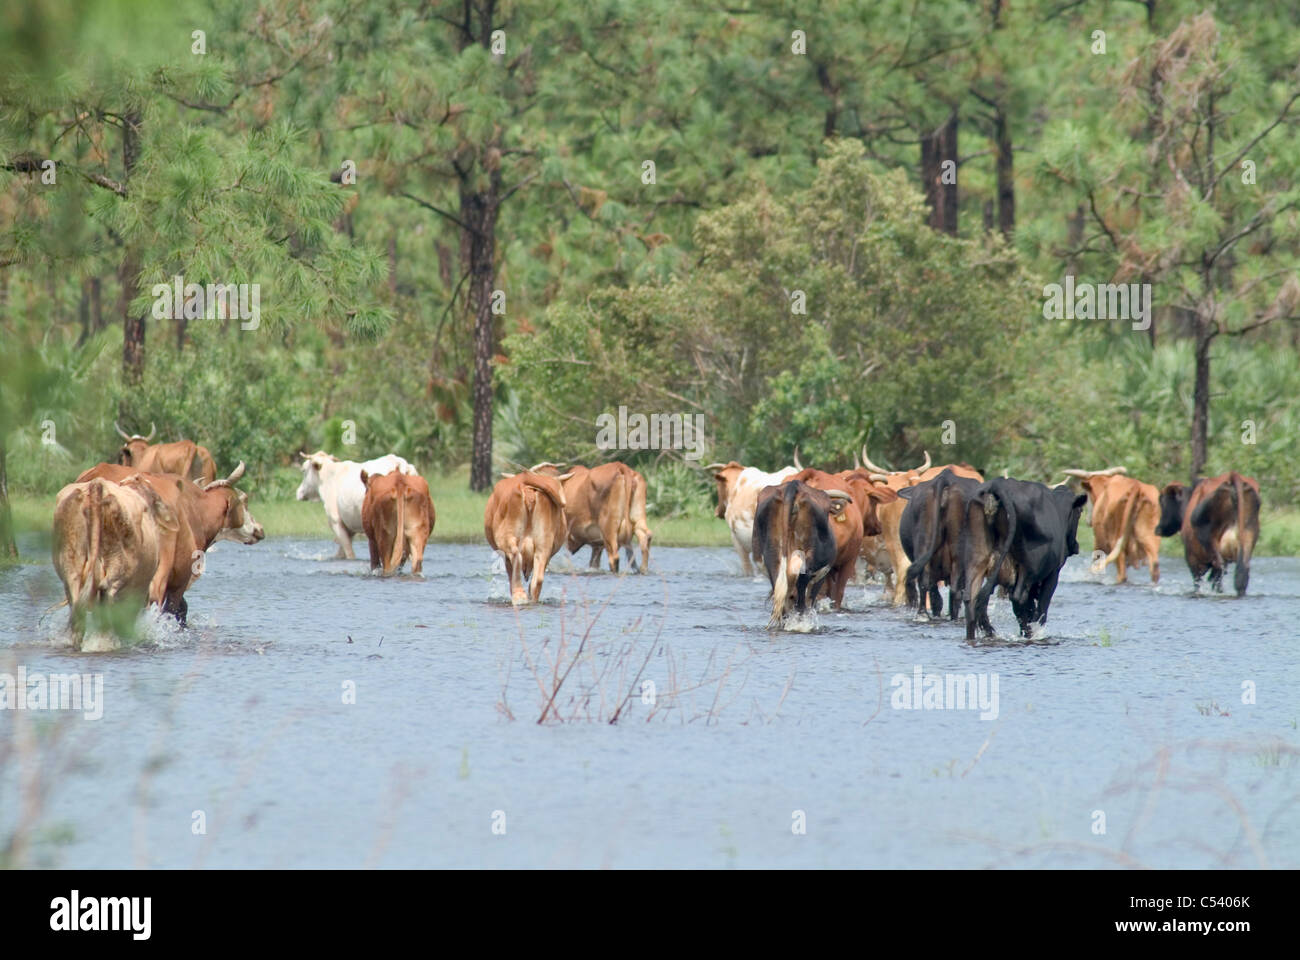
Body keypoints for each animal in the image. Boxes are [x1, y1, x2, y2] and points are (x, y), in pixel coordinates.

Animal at [52, 475, 178, 647]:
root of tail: (97, 484)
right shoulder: (138, 592)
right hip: (118, 571)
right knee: (107, 603)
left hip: (71, 569)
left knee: (78, 612)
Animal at [751, 479, 850, 627]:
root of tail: (793, 485)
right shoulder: (820, 576)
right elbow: (811, 599)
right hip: (808, 558)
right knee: (801, 592)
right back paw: (802, 623)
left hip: (772, 555)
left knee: (780, 589)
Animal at [960, 478, 1087, 641]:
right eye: (1079, 512)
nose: (1075, 546)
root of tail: (997, 484)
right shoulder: (1052, 574)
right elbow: (1041, 608)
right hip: (1028, 567)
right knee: (1019, 599)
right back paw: (1029, 634)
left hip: (977, 560)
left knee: (971, 598)